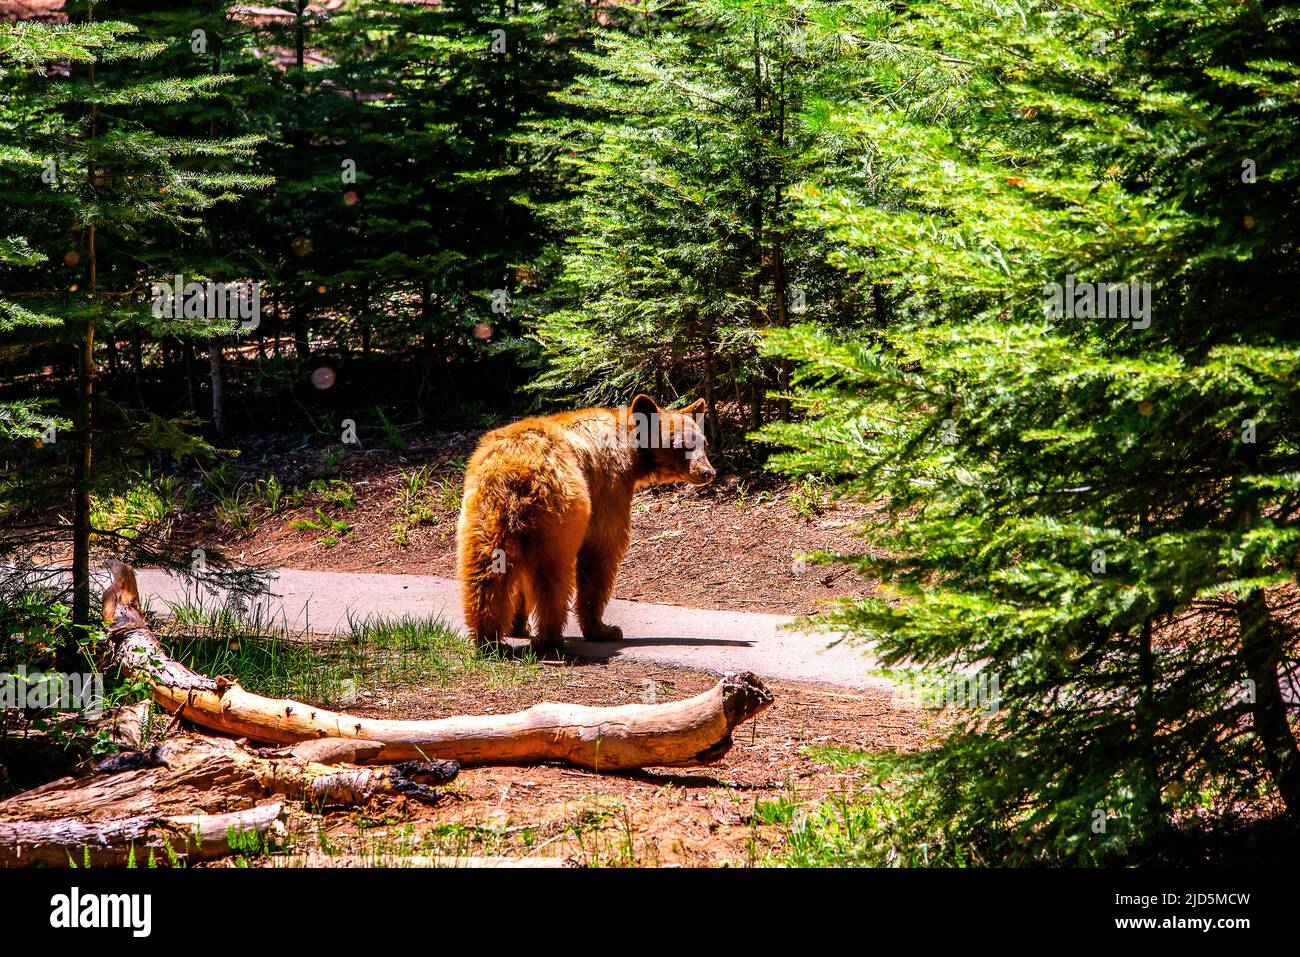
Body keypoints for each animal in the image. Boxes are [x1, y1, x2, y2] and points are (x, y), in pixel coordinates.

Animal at [457, 394, 716, 654]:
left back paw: (487, 637)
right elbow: (600, 551)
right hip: (558, 513)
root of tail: (516, 470)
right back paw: (549, 638)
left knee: (486, 569)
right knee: (552, 576)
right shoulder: (608, 487)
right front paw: (603, 628)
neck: (630, 453)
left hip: (484, 514)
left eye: (702, 442)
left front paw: (518, 625)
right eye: (681, 445)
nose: (707, 472)